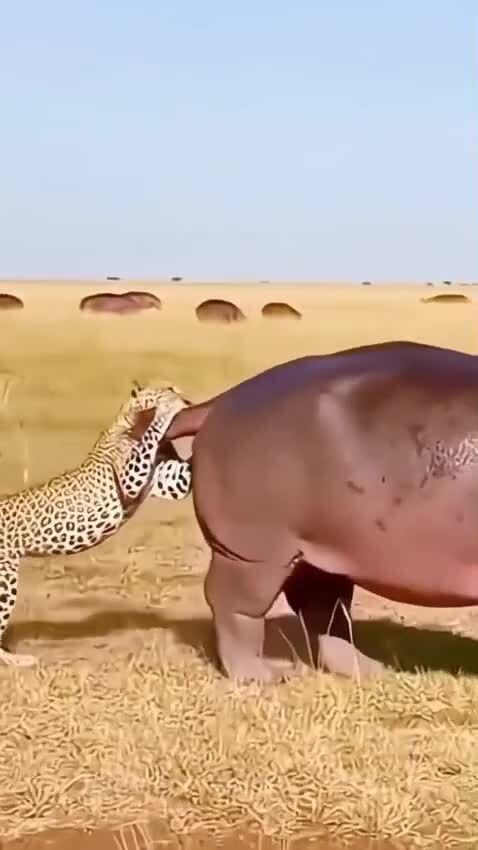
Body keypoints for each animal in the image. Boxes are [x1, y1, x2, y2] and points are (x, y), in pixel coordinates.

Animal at [161, 340, 478, 683]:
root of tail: (220, 402)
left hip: (319, 552)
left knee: (324, 613)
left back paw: (372, 672)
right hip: (251, 554)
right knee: (236, 605)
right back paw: (263, 678)